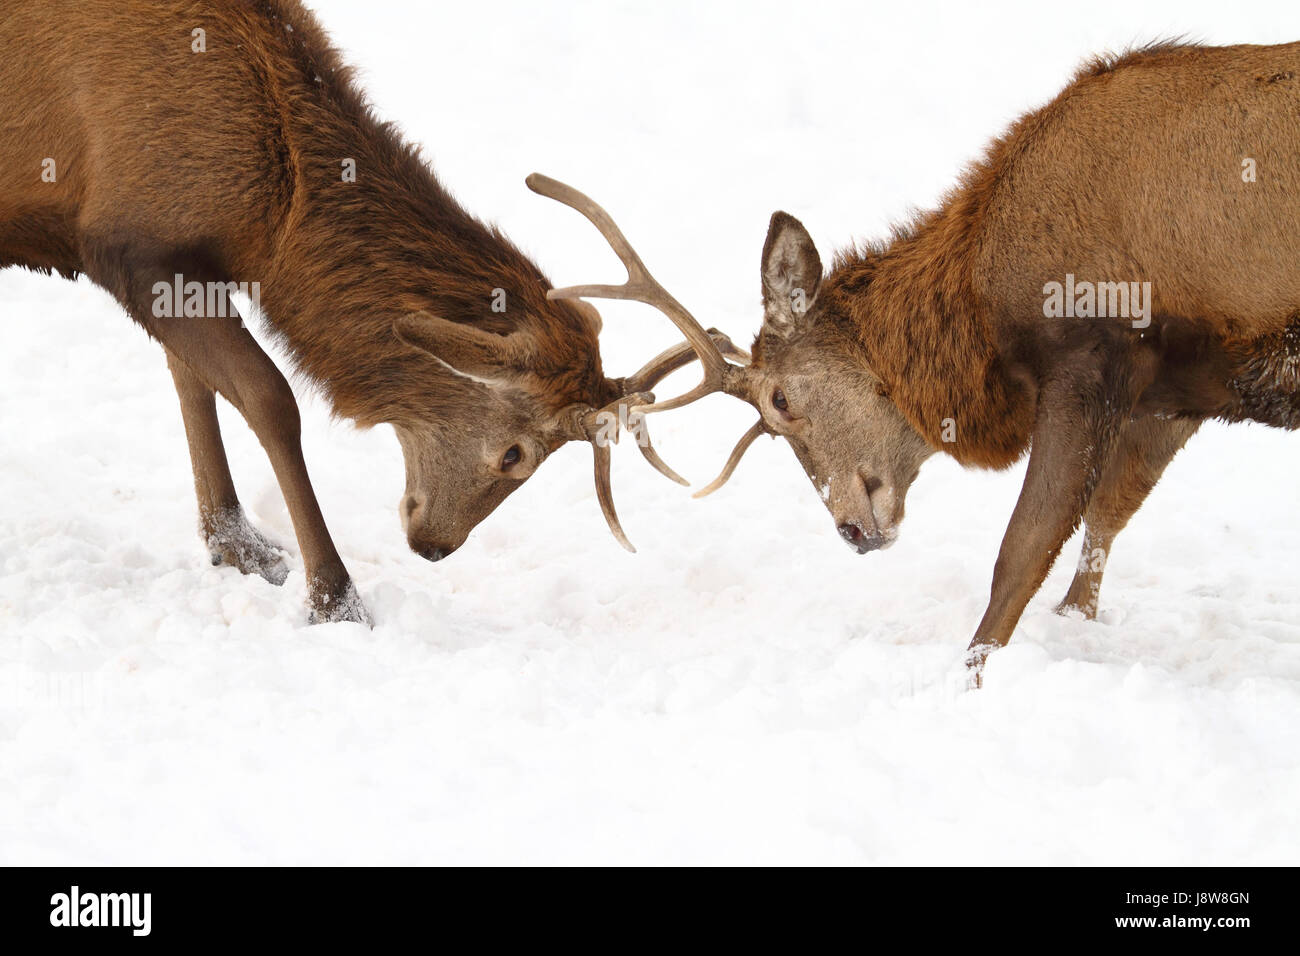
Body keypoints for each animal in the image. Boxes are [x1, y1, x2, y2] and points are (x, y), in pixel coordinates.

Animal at [0, 0, 721, 624]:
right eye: (515, 454)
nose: (436, 546)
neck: (272, 216)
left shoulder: (179, 265)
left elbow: (190, 381)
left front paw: (235, 544)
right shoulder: (123, 244)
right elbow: (270, 398)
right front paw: (334, 599)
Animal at [529, 40, 1300, 683]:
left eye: (780, 401)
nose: (850, 531)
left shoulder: (1091, 352)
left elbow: (1022, 551)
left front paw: (970, 681)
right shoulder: (1180, 394)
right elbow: (1105, 524)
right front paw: (1071, 630)